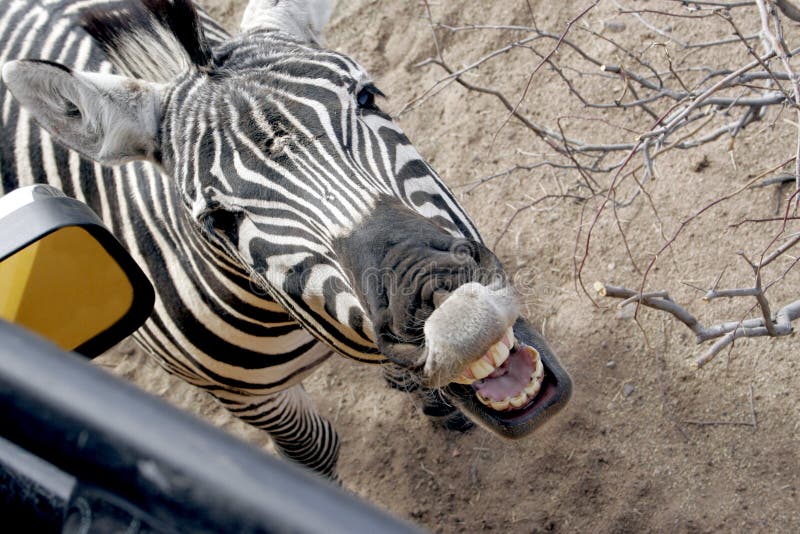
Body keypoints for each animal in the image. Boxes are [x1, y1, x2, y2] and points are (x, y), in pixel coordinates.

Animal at [0, 0, 571, 479]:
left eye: (368, 98)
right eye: (217, 221)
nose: (459, 320)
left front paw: (427, 397)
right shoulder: (239, 396)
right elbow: (312, 450)